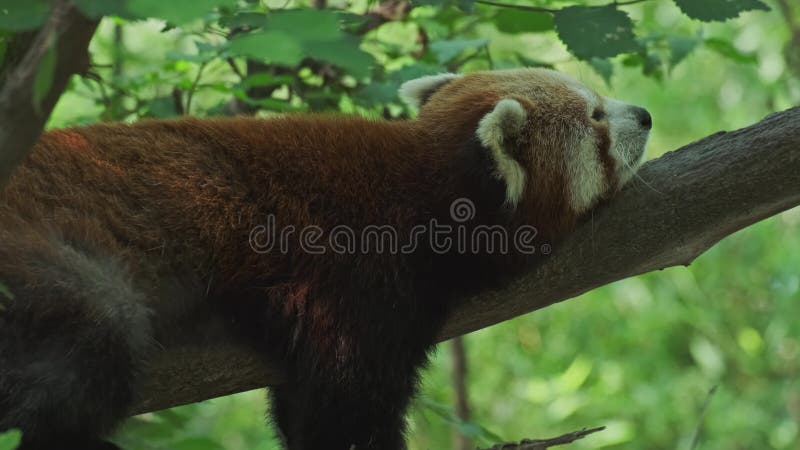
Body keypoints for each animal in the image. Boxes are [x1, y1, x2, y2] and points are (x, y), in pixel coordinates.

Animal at [0, 67, 651, 450]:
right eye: (595, 117)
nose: (644, 115)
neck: (426, 190)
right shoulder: (354, 273)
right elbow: (345, 409)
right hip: (43, 252)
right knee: (94, 339)